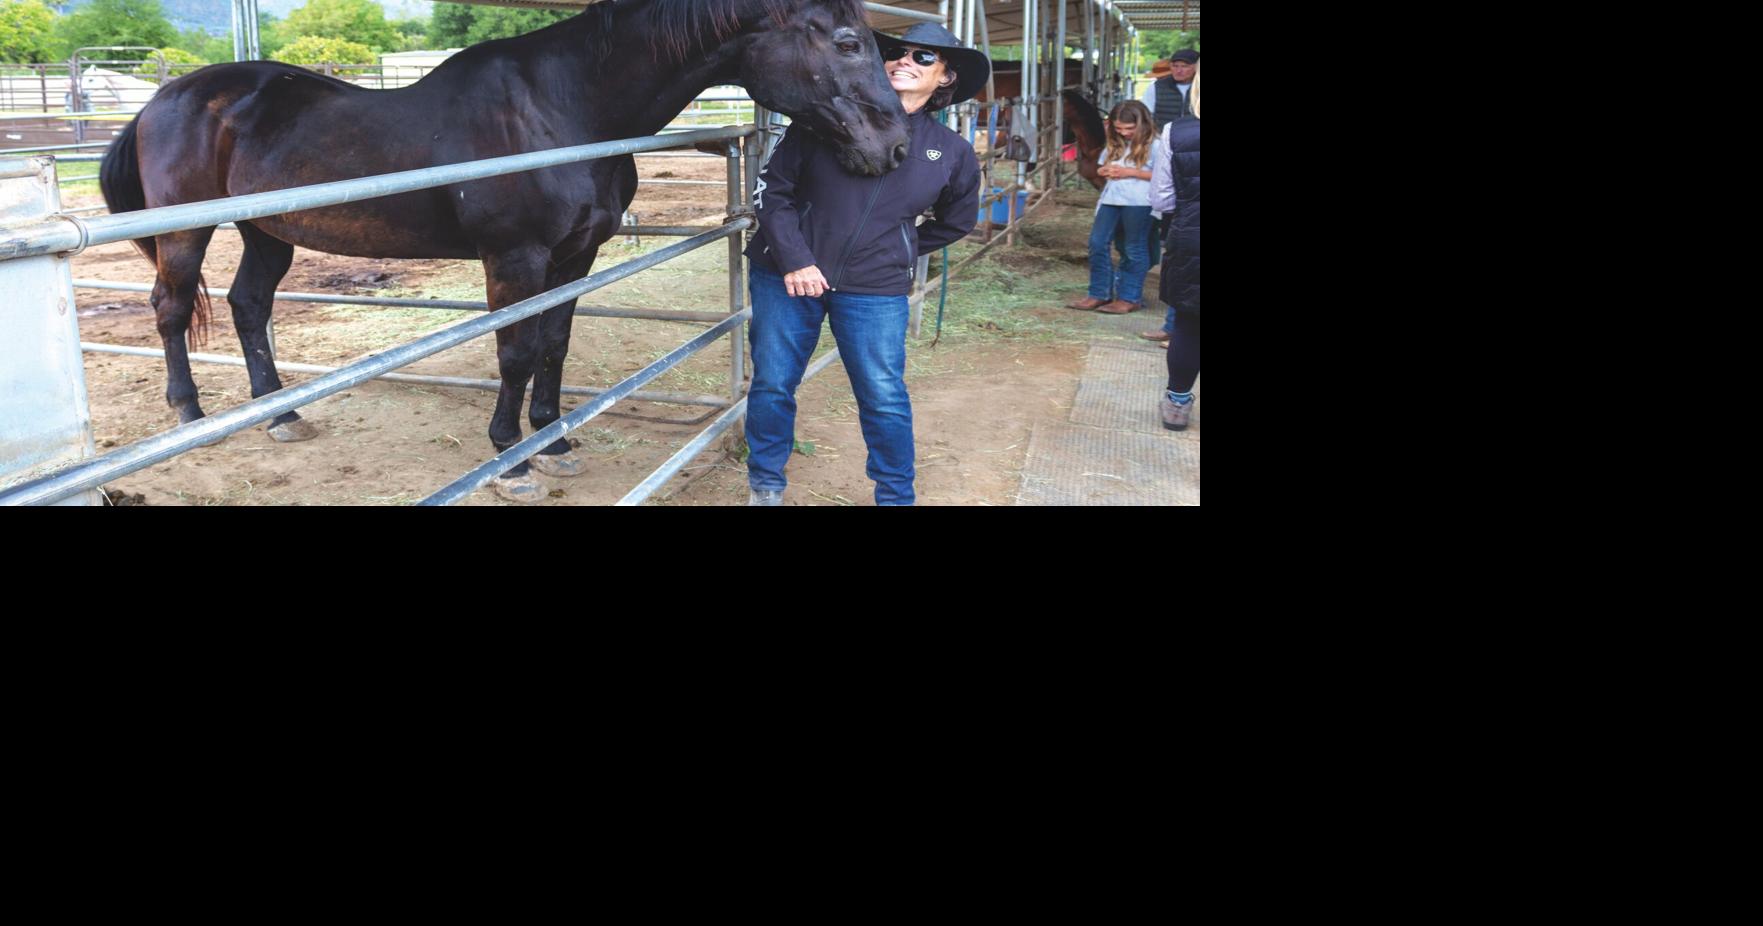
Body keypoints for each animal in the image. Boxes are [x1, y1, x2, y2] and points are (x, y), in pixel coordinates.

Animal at [99, 0, 909, 502]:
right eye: (845, 42)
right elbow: (515, 351)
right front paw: (508, 457)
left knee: (247, 305)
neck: (564, 108)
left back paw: (279, 414)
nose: (895, 147)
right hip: (184, 230)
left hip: (268, 232)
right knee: (171, 308)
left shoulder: (575, 257)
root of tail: (162, 99)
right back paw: (189, 413)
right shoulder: (514, 259)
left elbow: (553, 343)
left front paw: (552, 440)